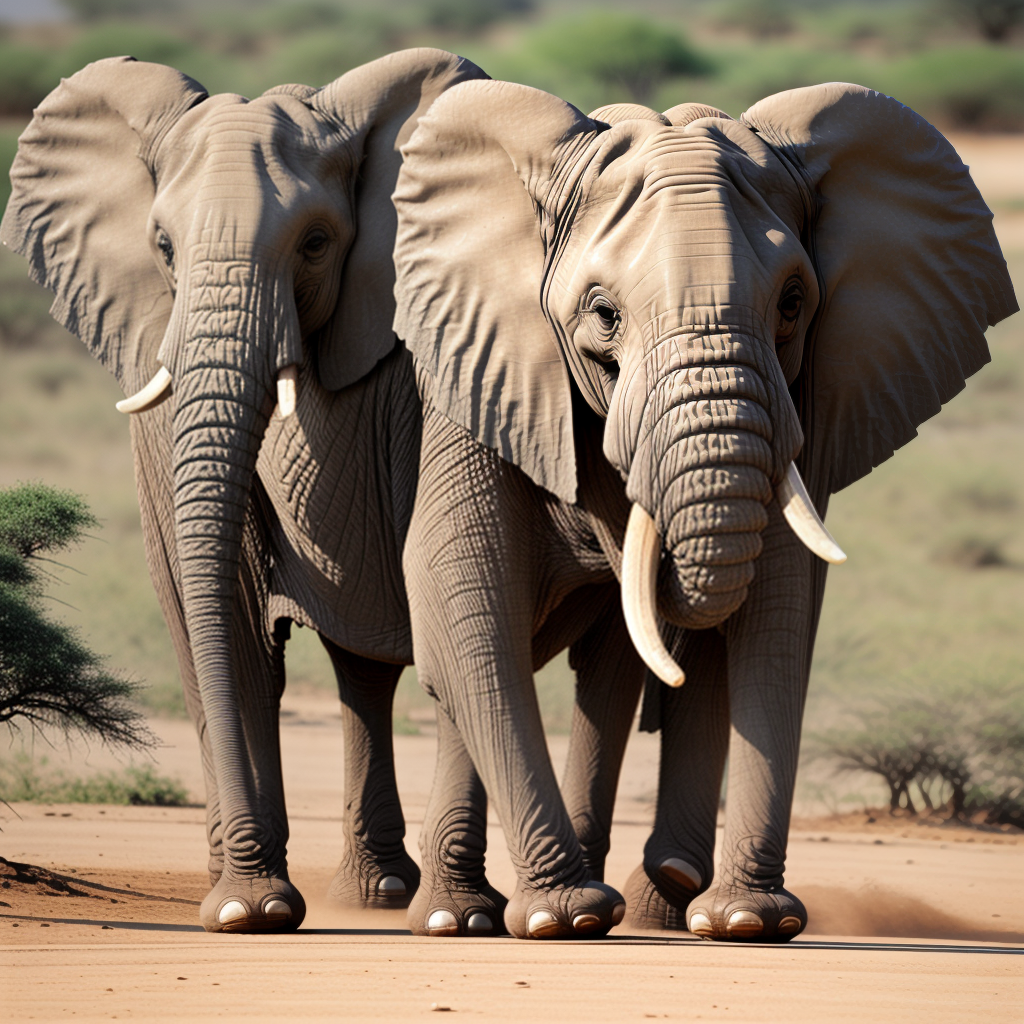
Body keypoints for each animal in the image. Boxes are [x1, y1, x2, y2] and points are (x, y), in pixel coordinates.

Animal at [0, 48, 498, 933]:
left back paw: (398, 897)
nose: (252, 904)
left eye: (316, 243)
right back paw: (363, 892)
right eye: (162, 245)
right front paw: (246, 905)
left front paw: (460, 918)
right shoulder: (153, 346)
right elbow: (219, 604)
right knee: (354, 663)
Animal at [388, 81, 1017, 940]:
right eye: (602, 314)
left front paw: (749, 919)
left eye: (793, 303)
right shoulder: (473, 361)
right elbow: (463, 594)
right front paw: (564, 917)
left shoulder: (808, 393)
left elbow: (778, 606)